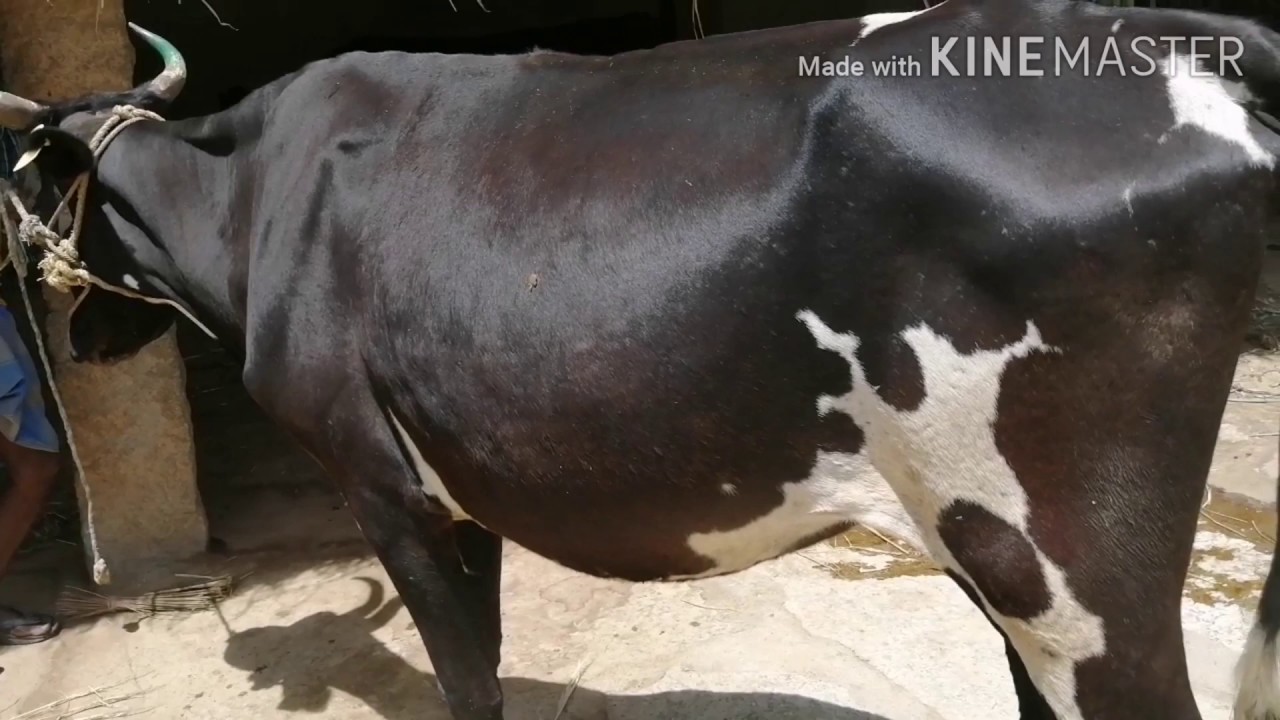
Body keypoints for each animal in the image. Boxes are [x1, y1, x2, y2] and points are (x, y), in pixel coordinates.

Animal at [3, 0, 1280, 717]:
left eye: (20, 196)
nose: (68, 336)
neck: (256, 195)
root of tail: (1147, 31)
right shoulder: (457, 484)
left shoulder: (378, 482)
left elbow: (465, 680)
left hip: (1061, 563)